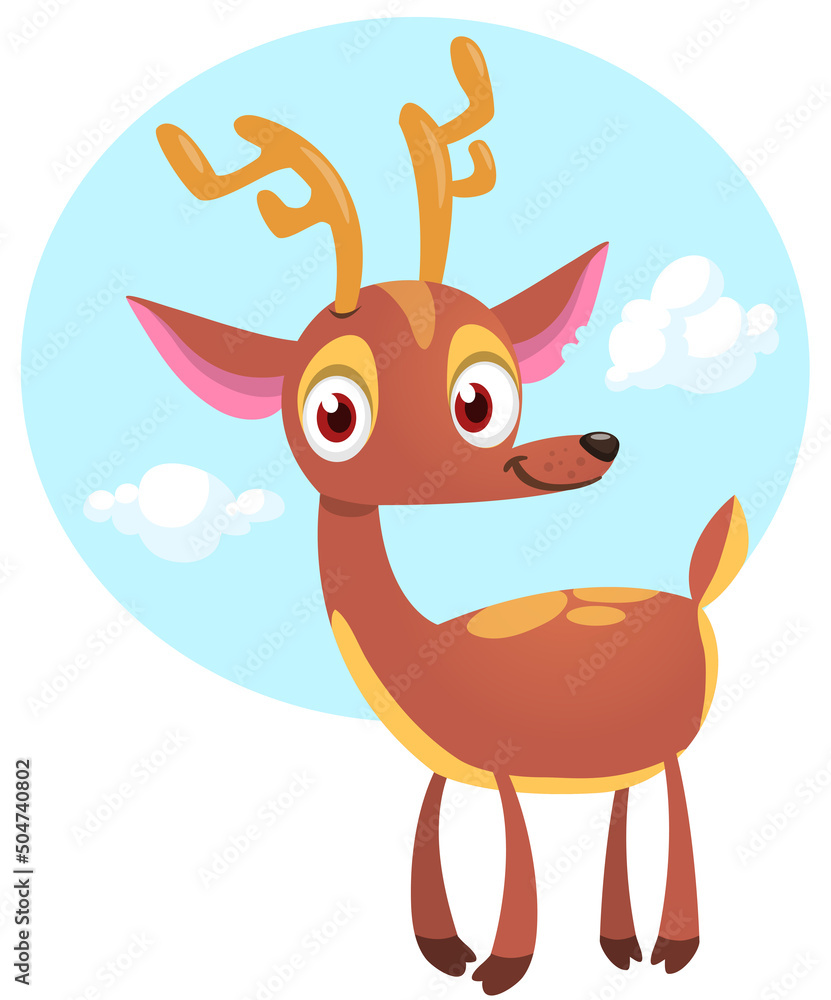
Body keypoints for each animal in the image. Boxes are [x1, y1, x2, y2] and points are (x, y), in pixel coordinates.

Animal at [127, 37, 748, 995]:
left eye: (481, 396)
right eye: (334, 413)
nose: (596, 443)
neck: (423, 654)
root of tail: (691, 591)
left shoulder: (500, 761)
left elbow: (516, 854)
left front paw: (504, 964)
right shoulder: (451, 765)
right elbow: (427, 826)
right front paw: (445, 953)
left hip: (672, 742)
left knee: (675, 802)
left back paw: (672, 947)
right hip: (622, 751)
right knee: (623, 799)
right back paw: (617, 945)